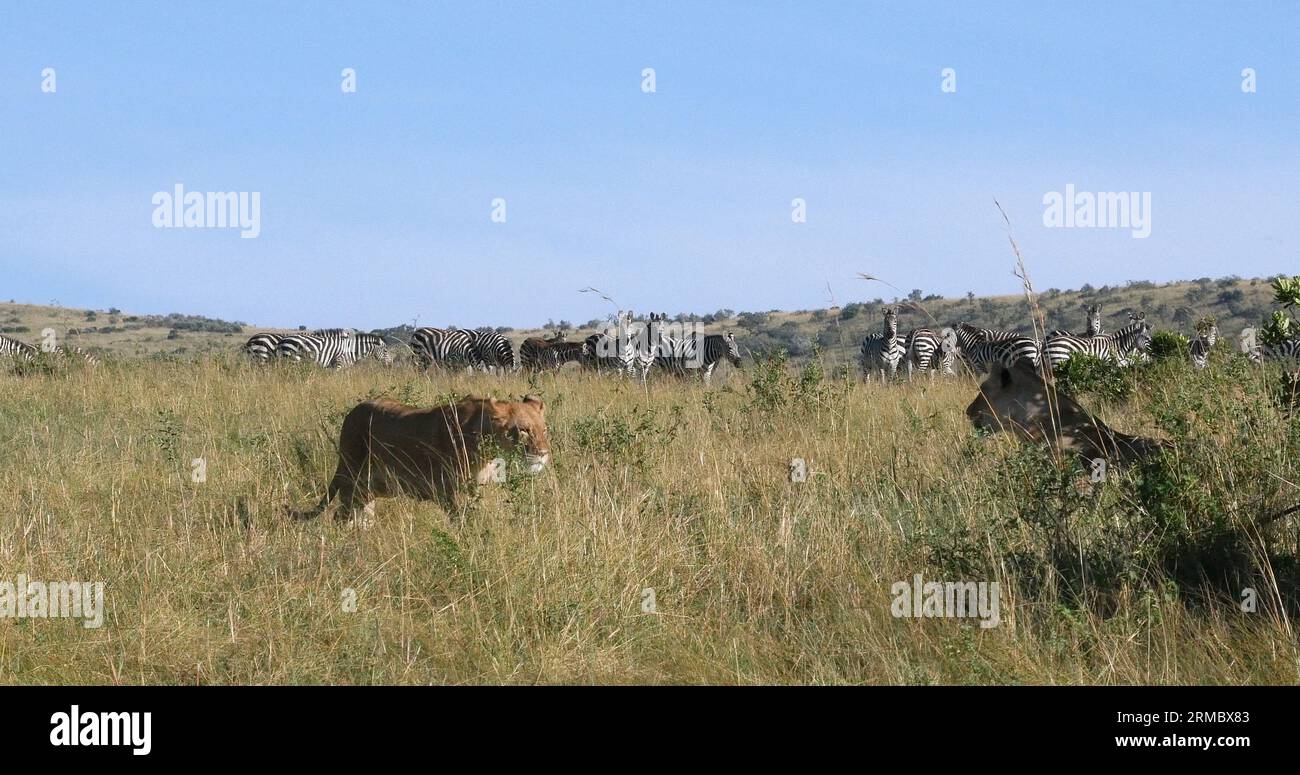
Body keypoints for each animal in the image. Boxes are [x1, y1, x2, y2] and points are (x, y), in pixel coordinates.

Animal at [293, 395, 551, 521]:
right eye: (523, 430)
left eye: (544, 430)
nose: (543, 454)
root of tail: (350, 414)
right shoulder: (450, 494)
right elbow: (464, 521)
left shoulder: (475, 489)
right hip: (351, 476)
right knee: (340, 515)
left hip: (369, 488)